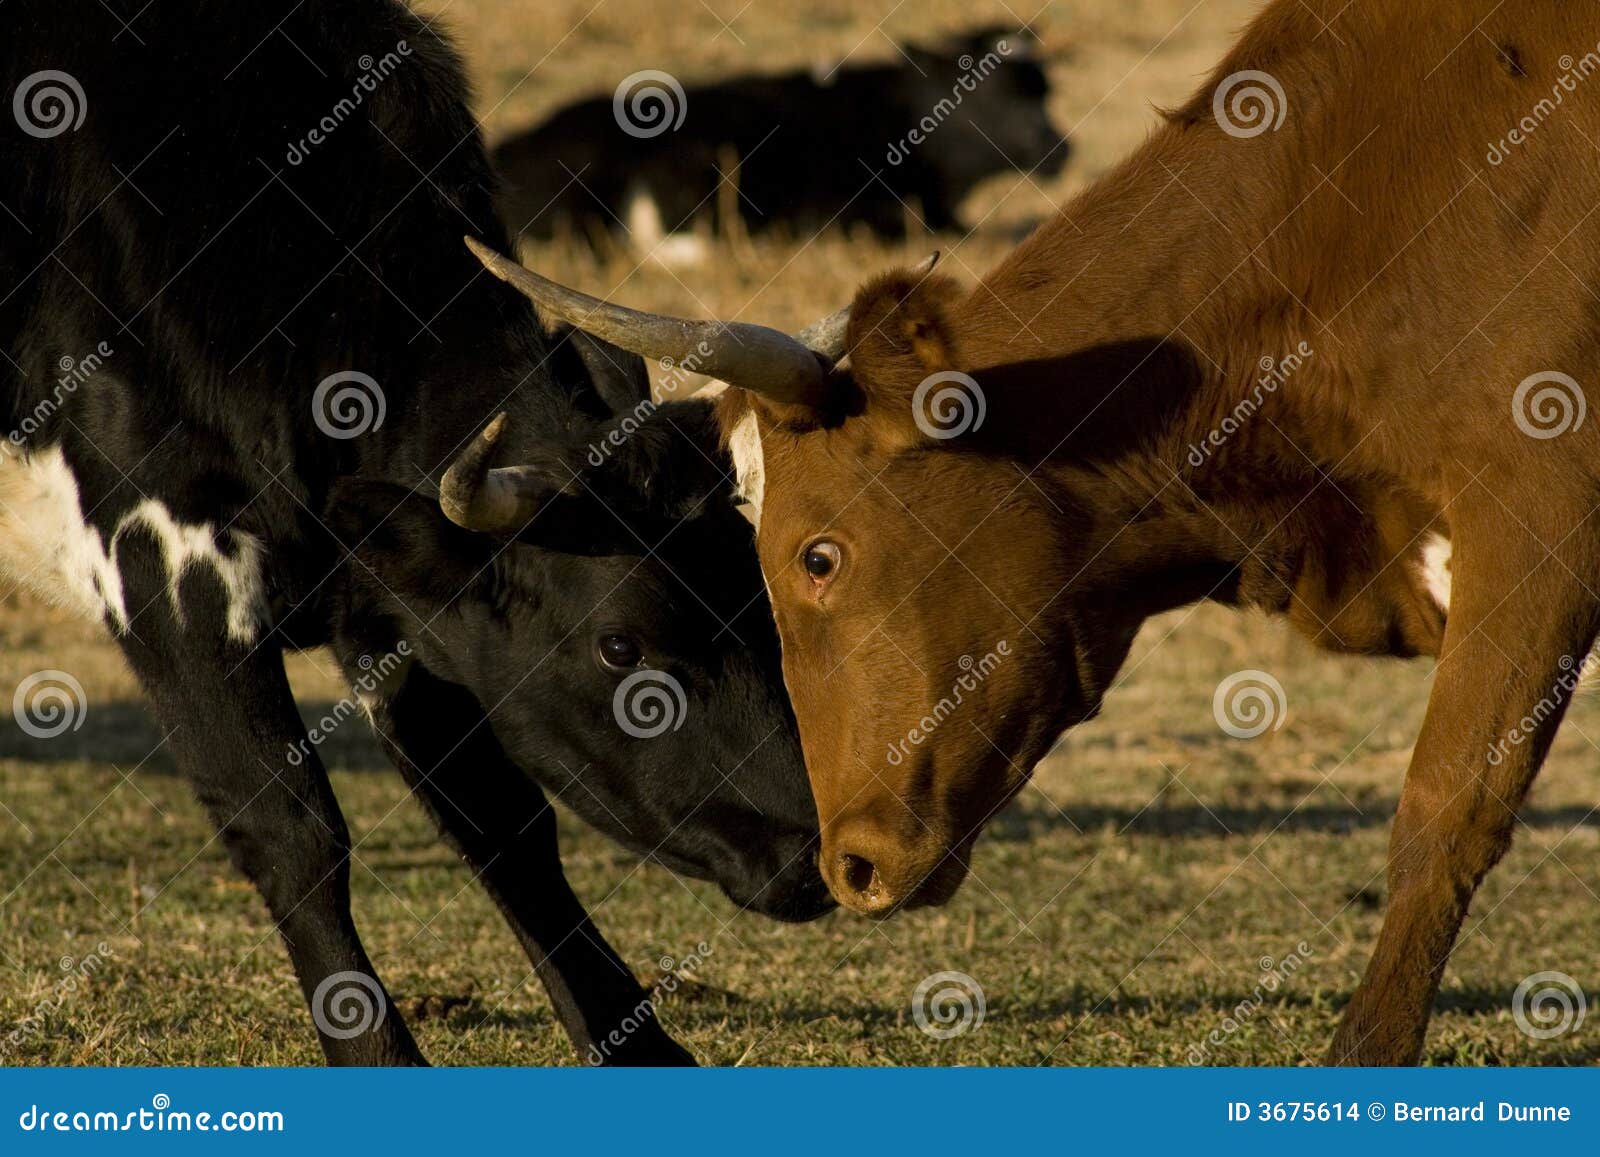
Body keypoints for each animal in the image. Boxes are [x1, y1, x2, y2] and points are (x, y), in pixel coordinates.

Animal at [1, 0, 831, 1067]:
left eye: (760, 599)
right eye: (621, 645)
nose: (818, 852)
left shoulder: (400, 606)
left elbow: (504, 821)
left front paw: (643, 1047)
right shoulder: (164, 564)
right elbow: (292, 826)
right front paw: (379, 1052)